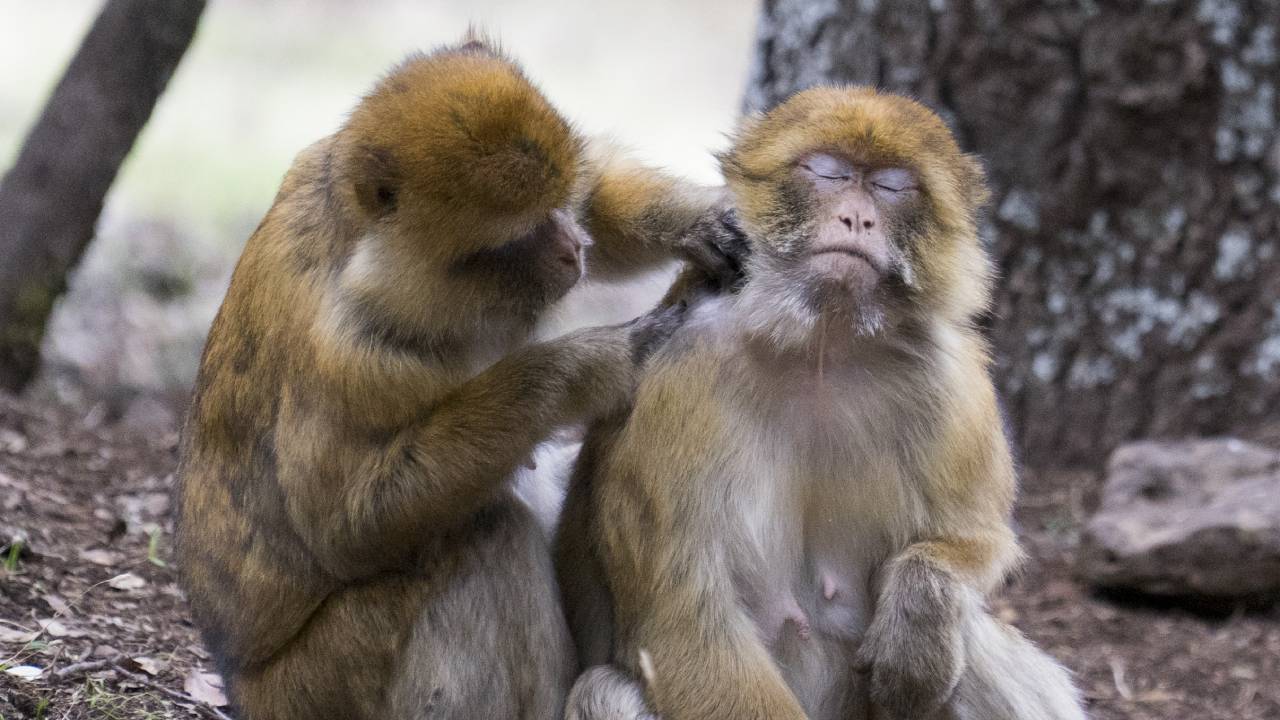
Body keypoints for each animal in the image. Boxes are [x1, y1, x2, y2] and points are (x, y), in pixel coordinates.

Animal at [174, 37, 738, 720]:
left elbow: (597, 179)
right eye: (518, 235)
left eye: (556, 207)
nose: (572, 246)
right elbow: (345, 526)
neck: (373, 268)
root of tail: (243, 687)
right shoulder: (347, 354)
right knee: (489, 537)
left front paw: (696, 223)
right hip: (324, 685)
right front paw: (591, 366)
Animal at [555, 86, 1088, 720]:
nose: (857, 217)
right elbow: (686, 624)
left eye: (891, 187)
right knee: (604, 690)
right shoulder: (674, 376)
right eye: (828, 173)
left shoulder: (952, 380)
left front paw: (923, 605)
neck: (818, 343)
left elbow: (979, 537)